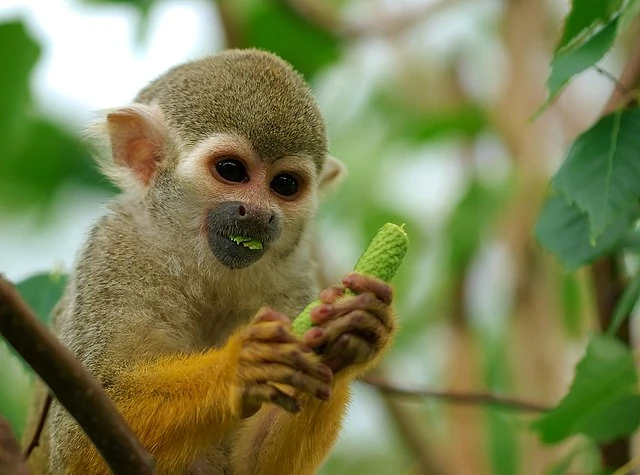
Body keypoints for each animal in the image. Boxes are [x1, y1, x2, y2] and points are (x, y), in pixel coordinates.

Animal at [24, 48, 397, 475]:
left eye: (285, 185)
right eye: (231, 171)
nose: (258, 214)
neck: (201, 265)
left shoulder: (294, 280)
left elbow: (254, 465)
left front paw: (348, 336)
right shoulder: (114, 252)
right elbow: (80, 443)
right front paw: (239, 368)